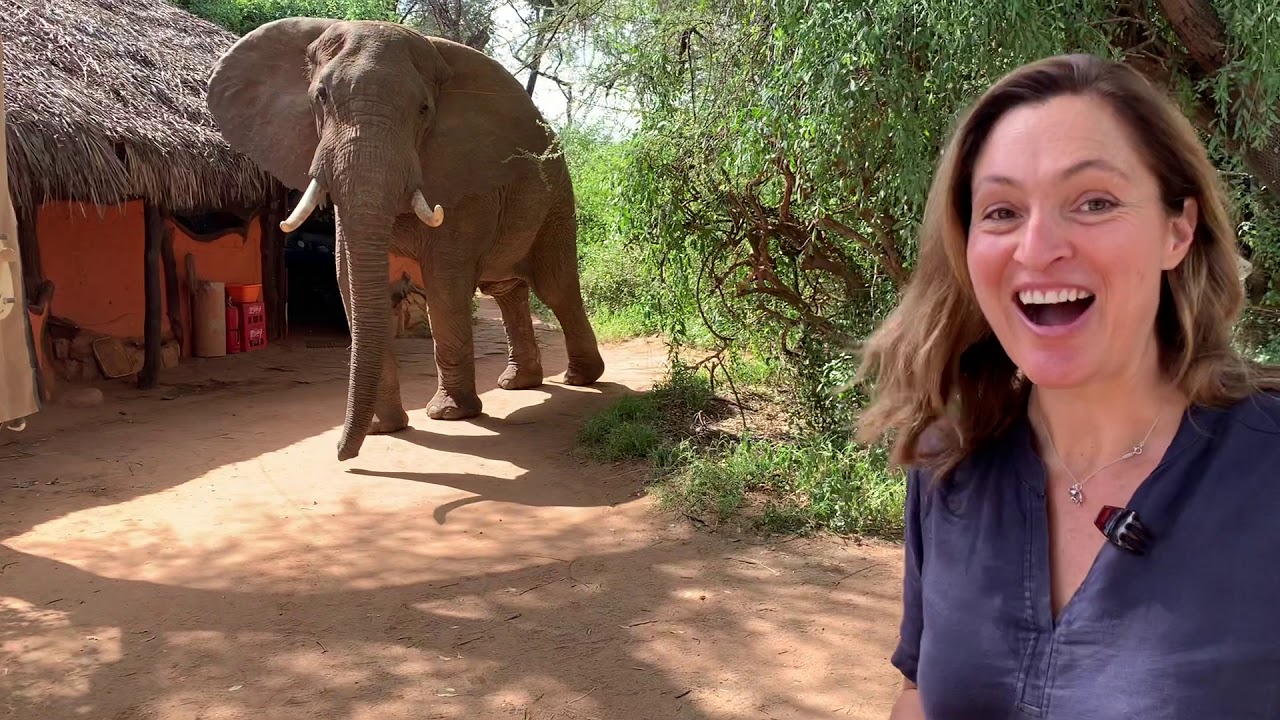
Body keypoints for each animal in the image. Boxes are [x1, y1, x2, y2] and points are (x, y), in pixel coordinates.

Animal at [206, 18, 605, 461]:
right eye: (321, 97)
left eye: (423, 110)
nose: (344, 455)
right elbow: (351, 283)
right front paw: (384, 428)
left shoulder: (462, 182)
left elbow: (445, 286)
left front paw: (449, 415)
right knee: (506, 289)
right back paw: (517, 383)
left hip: (558, 196)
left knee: (555, 286)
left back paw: (579, 378)